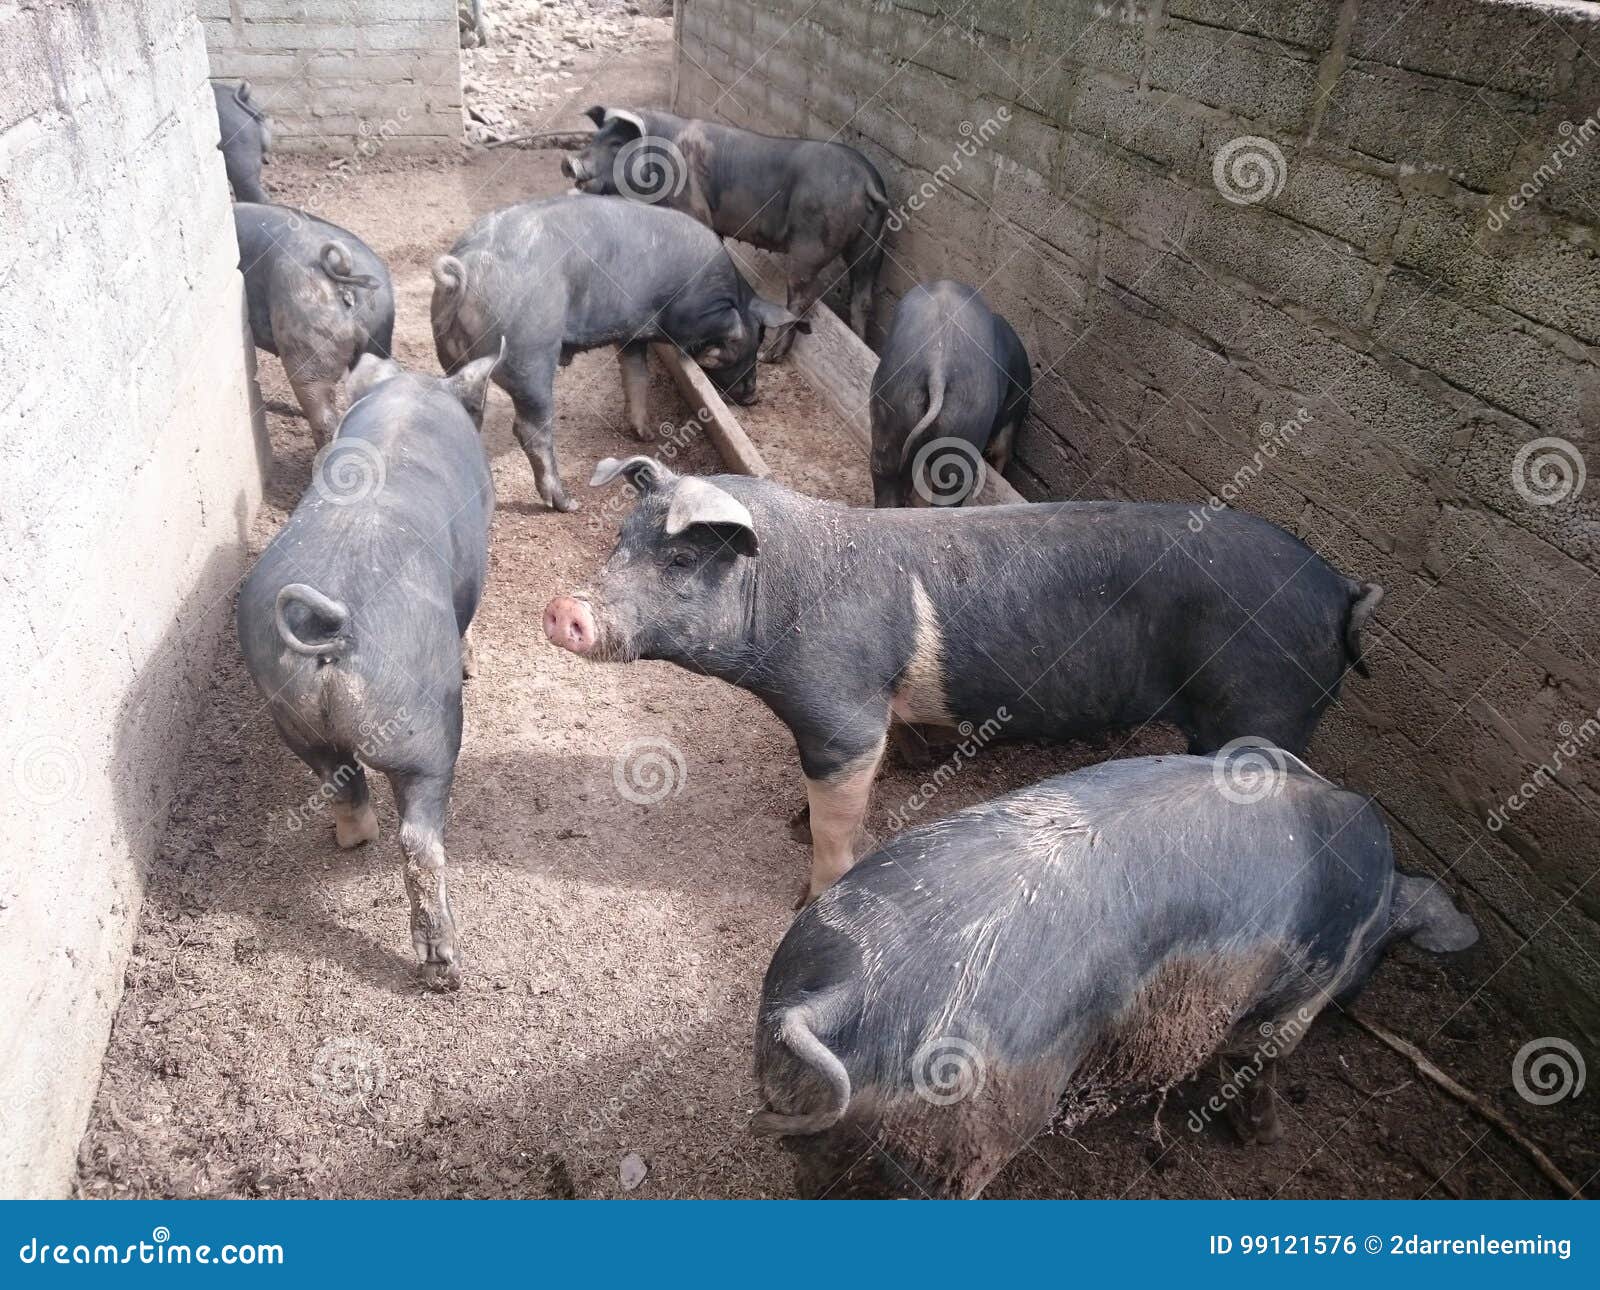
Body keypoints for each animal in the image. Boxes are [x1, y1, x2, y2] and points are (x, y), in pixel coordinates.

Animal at [235, 351, 499, 990]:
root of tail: (336, 623)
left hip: (290, 715)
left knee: (338, 779)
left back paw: (354, 839)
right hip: (427, 730)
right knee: (420, 843)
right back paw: (444, 971)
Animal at [431, 194, 802, 513]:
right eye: (753, 342)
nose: (752, 396)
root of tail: (466, 270)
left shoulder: (632, 335)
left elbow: (637, 376)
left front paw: (646, 435)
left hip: (458, 360)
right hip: (530, 355)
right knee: (531, 430)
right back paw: (567, 503)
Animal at [544, 457, 1385, 904]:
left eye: (682, 559)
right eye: (618, 542)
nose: (562, 609)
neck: (781, 594)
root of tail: (1341, 591)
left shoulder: (842, 712)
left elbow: (842, 819)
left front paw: (809, 893)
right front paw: (791, 819)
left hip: (1265, 703)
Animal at [562, 107, 887, 358]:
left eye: (617, 143)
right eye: (595, 138)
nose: (569, 163)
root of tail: (866, 181)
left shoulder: (694, 207)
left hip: (812, 243)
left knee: (801, 298)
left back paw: (769, 356)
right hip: (871, 244)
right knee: (862, 299)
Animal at [751, 751, 1478, 1198]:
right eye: (1379, 956)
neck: (1377, 903)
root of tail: (839, 997)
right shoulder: (1297, 1001)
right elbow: (1262, 1056)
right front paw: (1264, 1137)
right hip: (960, 1139)